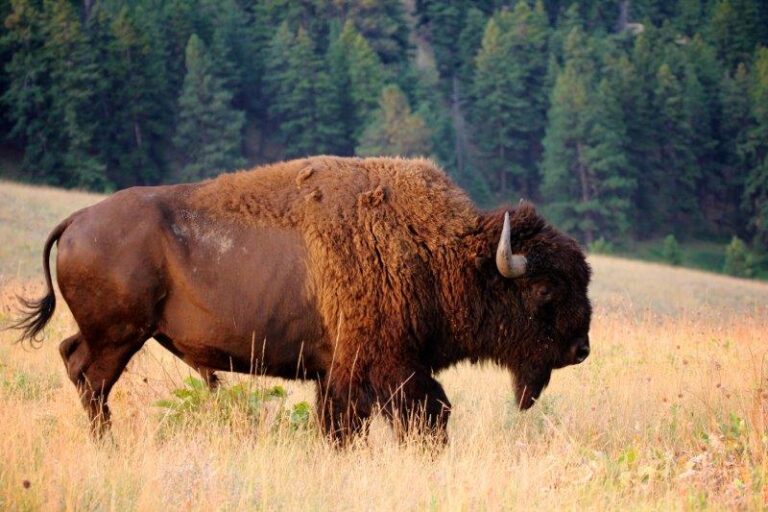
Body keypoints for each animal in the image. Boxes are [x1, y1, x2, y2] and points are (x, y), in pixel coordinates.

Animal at [13, 156, 591, 443]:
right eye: (544, 290)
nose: (580, 349)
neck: (436, 250)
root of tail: (76, 220)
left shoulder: (338, 374)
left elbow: (342, 424)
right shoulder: (386, 367)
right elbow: (426, 413)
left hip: (112, 335)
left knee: (72, 359)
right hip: (118, 337)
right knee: (91, 378)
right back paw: (107, 443)